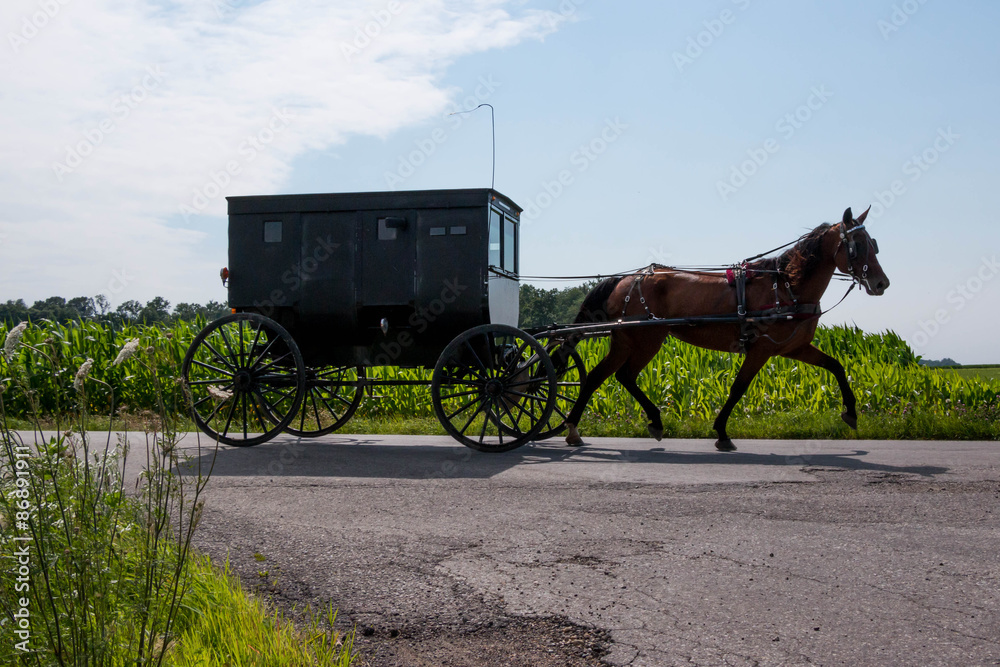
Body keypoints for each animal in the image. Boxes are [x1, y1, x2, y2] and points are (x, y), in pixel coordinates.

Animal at [562, 206, 889, 451]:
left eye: (873, 243)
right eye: (858, 245)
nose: (881, 283)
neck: (786, 286)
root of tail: (626, 279)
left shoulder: (794, 348)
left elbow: (836, 366)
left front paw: (850, 412)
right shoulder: (761, 349)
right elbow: (738, 387)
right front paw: (721, 433)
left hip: (625, 341)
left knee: (598, 377)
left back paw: (574, 429)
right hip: (647, 340)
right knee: (624, 376)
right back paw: (651, 421)